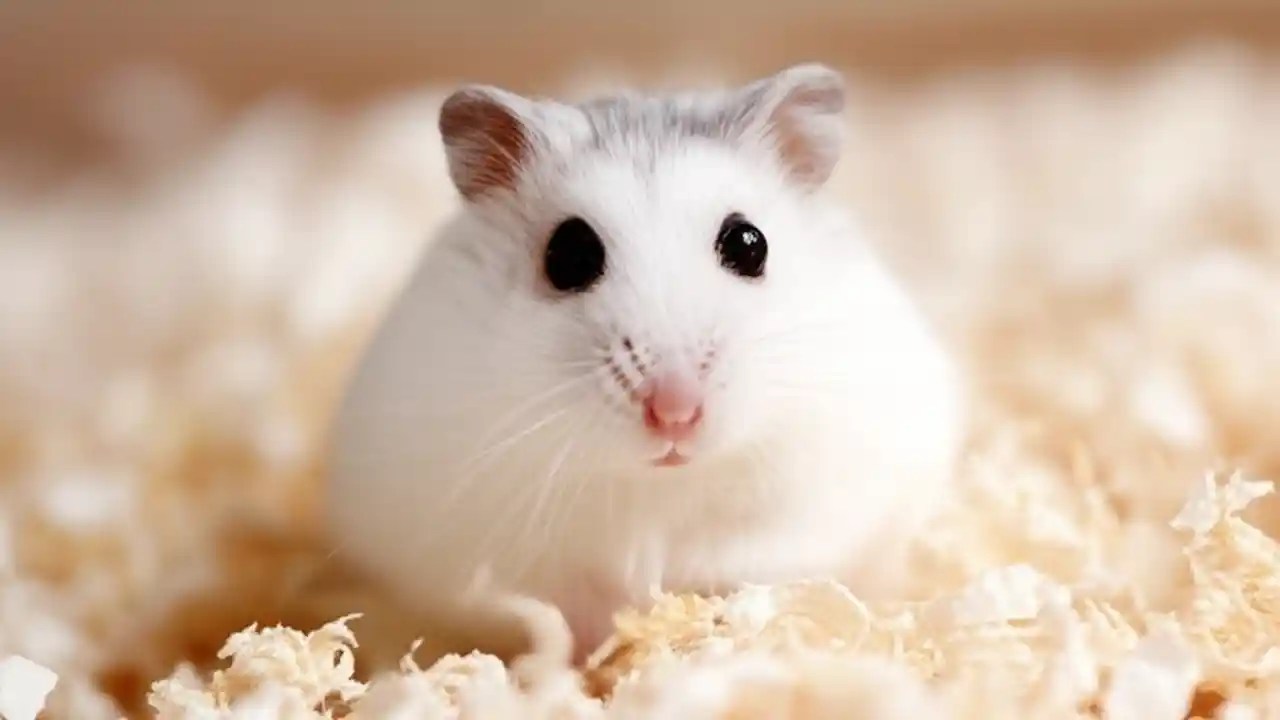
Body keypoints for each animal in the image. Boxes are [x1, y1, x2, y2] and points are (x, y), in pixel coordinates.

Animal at [326, 63, 966, 663]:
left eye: (749, 244)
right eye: (569, 254)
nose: (675, 413)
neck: (660, 484)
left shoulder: (812, 505)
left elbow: (747, 566)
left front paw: (692, 621)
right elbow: (562, 601)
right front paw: (607, 645)